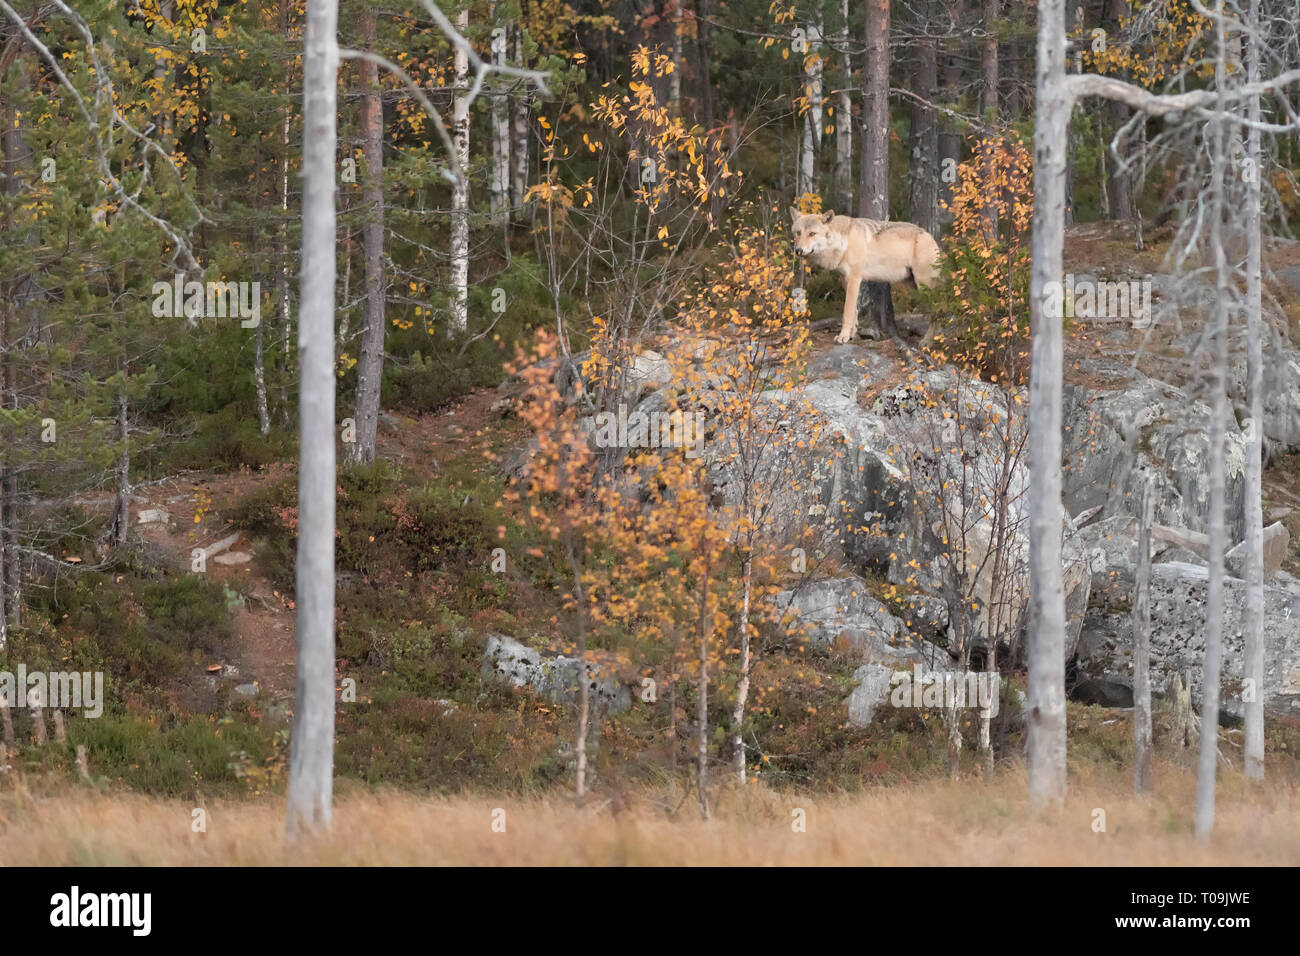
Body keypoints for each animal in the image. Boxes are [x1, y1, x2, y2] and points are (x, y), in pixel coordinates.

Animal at [790, 207, 941, 344]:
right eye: (798, 233)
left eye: (812, 234)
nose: (798, 250)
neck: (843, 244)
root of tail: (929, 236)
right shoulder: (845, 279)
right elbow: (854, 312)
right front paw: (851, 335)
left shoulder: (854, 279)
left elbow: (847, 312)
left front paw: (843, 337)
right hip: (913, 287)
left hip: (924, 287)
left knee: (938, 312)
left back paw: (927, 342)